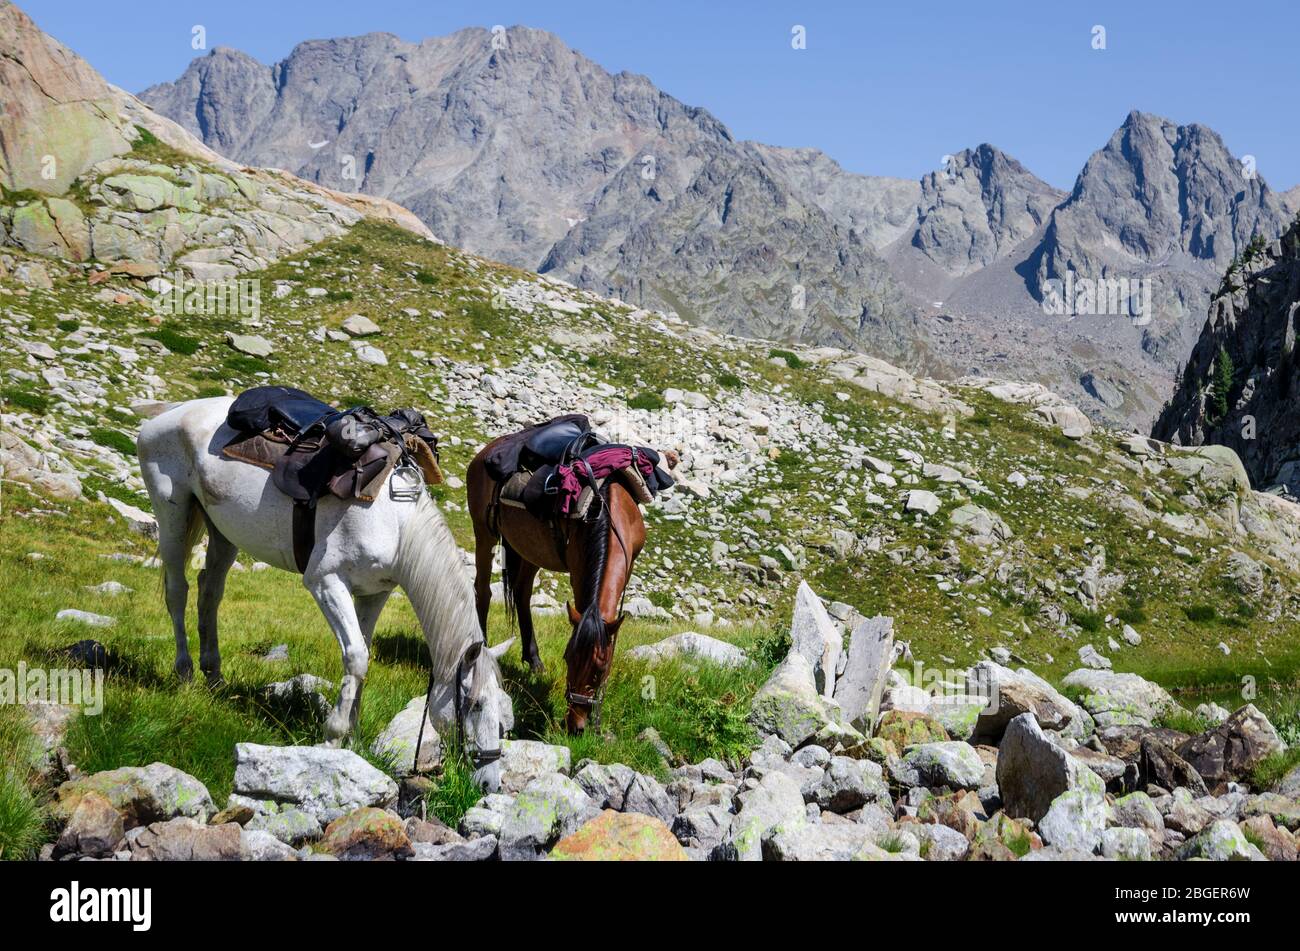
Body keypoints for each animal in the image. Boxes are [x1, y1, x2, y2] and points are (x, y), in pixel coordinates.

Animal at [136, 397, 514, 790]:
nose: (490, 783)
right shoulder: (325, 582)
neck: (395, 523)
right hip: (172, 515)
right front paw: (332, 738)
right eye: (475, 705)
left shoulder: (373, 594)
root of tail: (169, 413)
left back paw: (214, 677)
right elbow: (356, 657)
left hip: (222, 531)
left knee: (209, 592)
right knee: (177, 591)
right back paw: (185, 674)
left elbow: (363, 656)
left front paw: (355, 737)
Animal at [466, 439, 648, 734]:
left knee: (522, 593)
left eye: (600, 669)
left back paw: (534, 661)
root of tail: (487, 450)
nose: (575, 725)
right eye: (567, 659)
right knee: (482, 590)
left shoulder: (629, 564)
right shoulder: (578, 572)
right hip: (484, 533)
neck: (611, 508)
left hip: (529, 549)